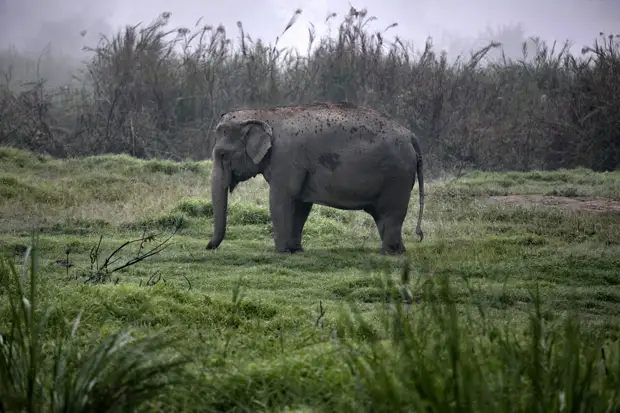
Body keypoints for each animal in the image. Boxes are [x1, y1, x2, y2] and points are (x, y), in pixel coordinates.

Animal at [206, 100, 424, 254]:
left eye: (222, 155)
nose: (208, 246)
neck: (264, 113)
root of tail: (411, 136)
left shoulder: (286, 158)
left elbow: (281, 199)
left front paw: (281, 251)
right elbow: (300, 205)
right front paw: (295, 250)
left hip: (397, 177)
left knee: (391, 213)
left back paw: (389, 252)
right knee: (383, 216)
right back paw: (398, 251)